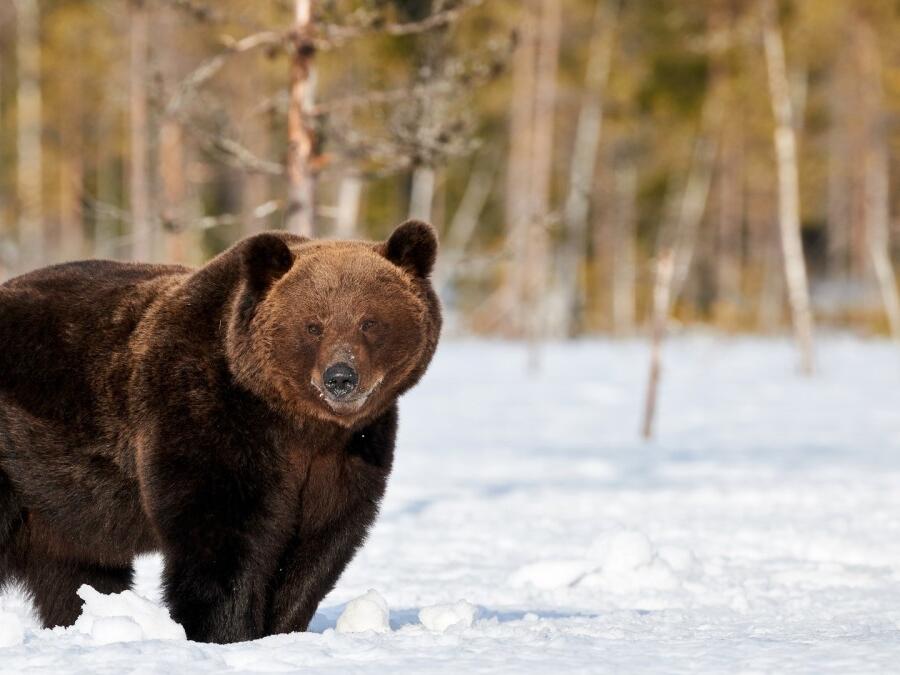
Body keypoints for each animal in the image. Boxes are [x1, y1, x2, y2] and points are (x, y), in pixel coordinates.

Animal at [0, 220, 441, 643]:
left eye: (370, 322)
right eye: (313, 325)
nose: (340, 377)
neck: (301, 426)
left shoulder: (350, 455)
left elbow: (318, 546)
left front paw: (281, 627)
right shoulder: (210, 417)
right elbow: (223, 539)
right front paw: (224, 632)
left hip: (60, 508)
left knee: (76, 573)